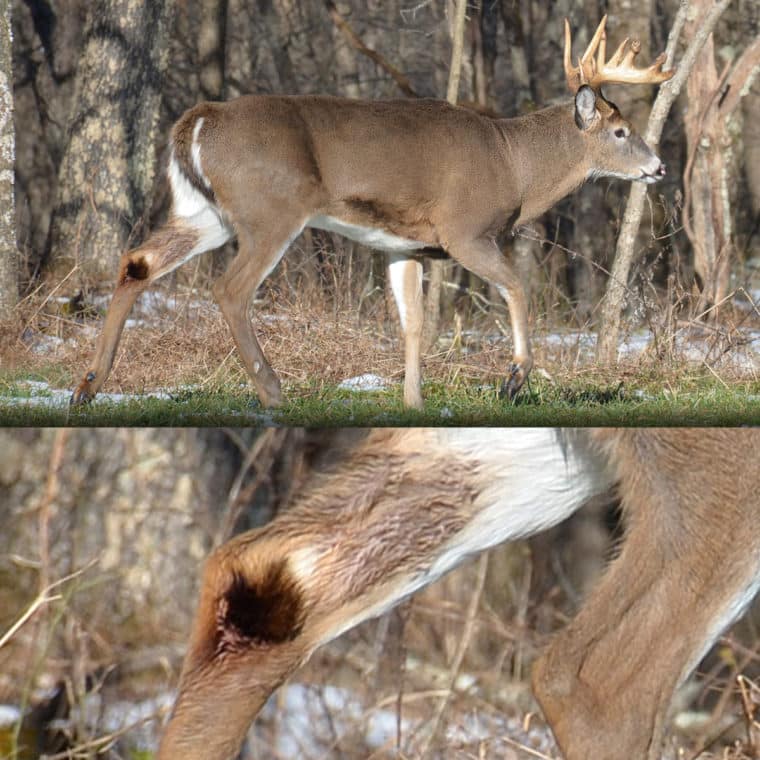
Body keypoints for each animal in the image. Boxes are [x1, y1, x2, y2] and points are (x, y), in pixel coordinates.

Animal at [70, 17, 672, 409]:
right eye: (621, 132)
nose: (660, 167)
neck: (514, 164)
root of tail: (197, 120)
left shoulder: (403, 247)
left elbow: (411, 325)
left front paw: (413, 403)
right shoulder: (464, 230)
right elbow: (517, 286)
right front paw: (514, 378)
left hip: (203, 213)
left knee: (137, 262)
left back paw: (87, 386)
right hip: (271, 210)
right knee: (230, 288)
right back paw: (272, 391)